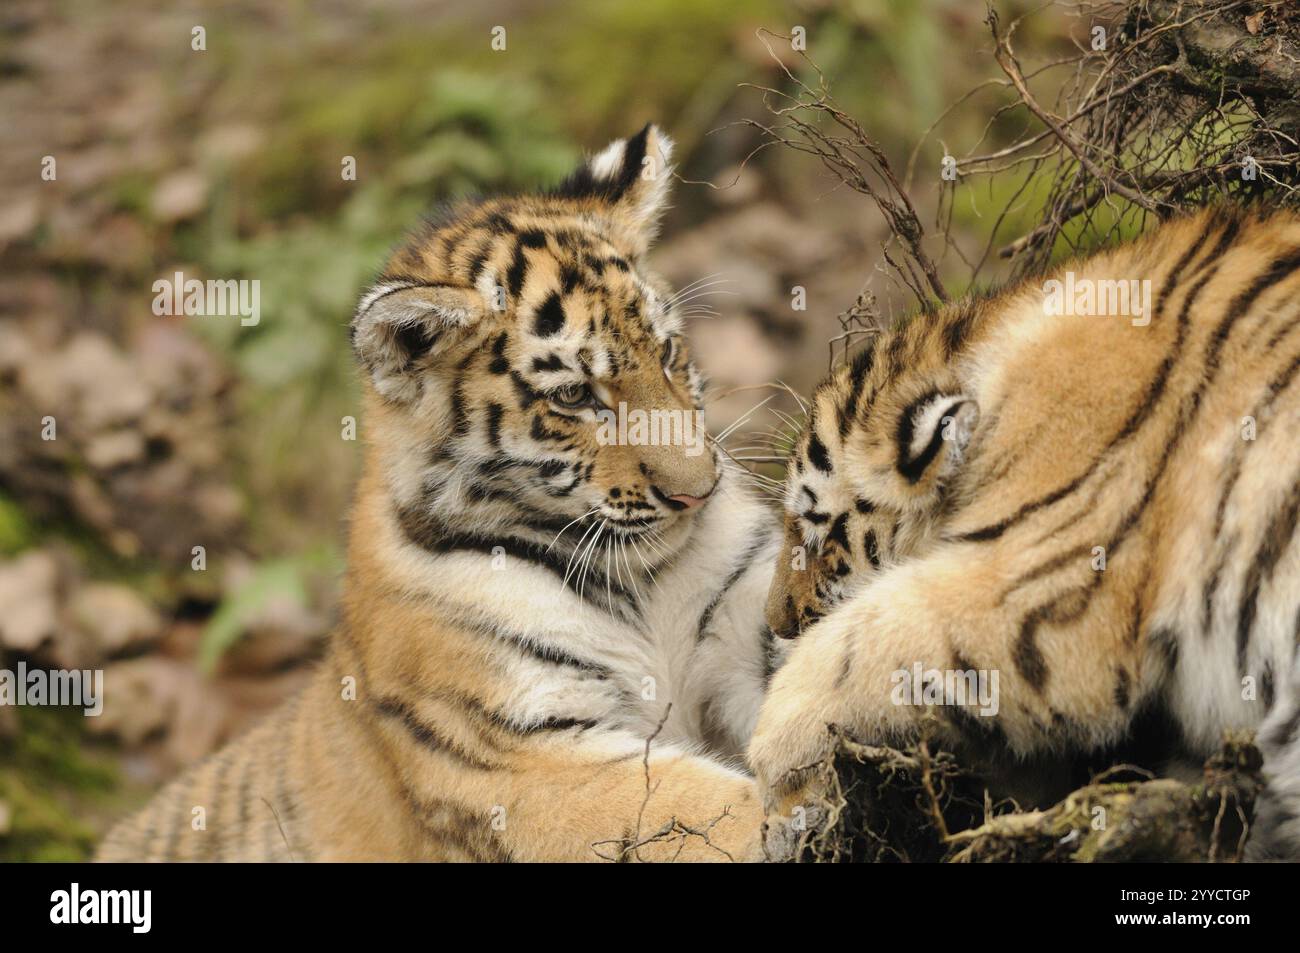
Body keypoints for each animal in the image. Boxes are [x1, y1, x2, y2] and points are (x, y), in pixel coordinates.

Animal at [98, 125, 788, 862]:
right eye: (575, 395)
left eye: (667, 354)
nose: (699, 492)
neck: (645, 583)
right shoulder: (516, 759)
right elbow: (716, 808)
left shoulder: (745, 635)